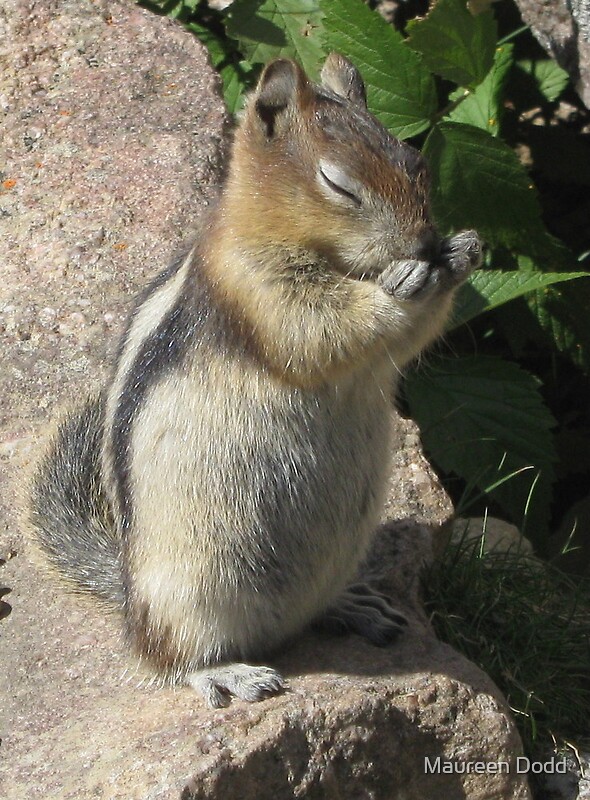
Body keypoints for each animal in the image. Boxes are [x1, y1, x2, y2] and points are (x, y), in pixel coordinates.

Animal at [29, 53, 481, 707]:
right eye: (339, 184)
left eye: (415, 162)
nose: (424, 242)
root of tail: (128, 596)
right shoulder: (258, 290)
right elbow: (325, 326)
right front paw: (404, 282)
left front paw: (463, 251)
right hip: (190, 591)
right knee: (168, 657)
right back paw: (228, 672)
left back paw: (355, 608)